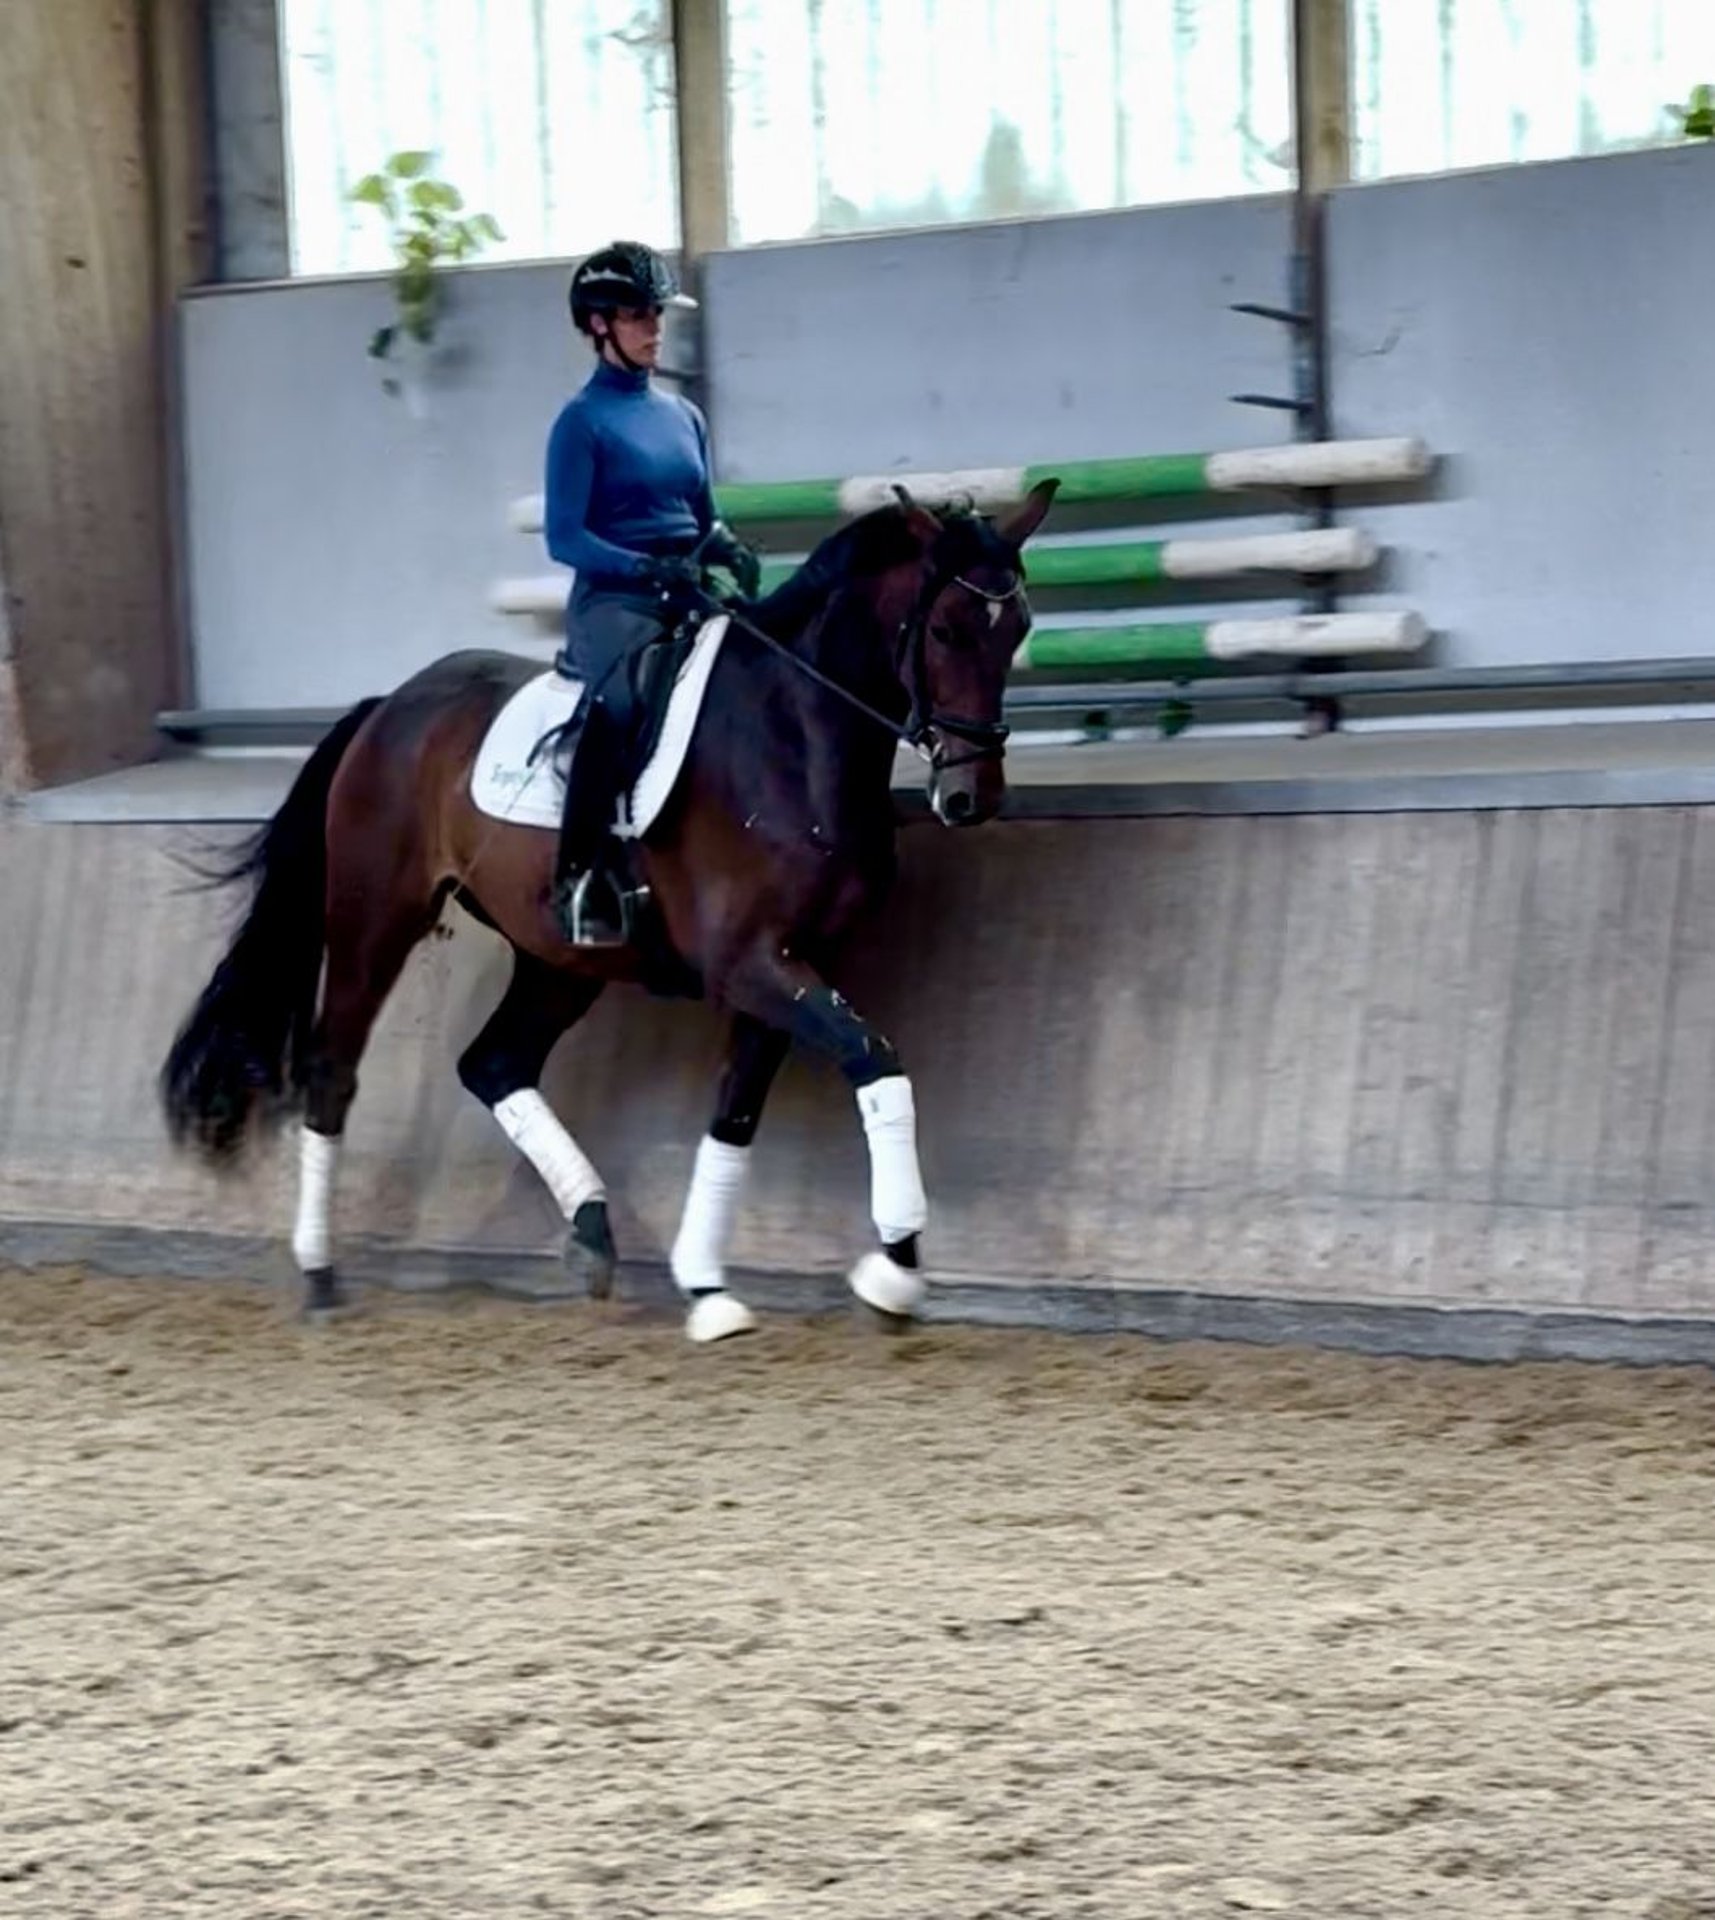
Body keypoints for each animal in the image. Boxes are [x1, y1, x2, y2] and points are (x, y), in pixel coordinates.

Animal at [160, 480, 1059, 1342]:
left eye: (1016, 627)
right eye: (943, 630)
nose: (972, 797)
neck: (794, 740)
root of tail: (390, 706)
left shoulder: (790, 963)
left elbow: (737, 1113)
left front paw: (708, 1286)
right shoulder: (750, 964)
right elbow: (874, 1061)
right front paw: (895, 1266)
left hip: (558, 956)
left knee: (493, 1063)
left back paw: (590, 1227)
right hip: (373, 917)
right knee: (333, 1068)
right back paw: (318, 1274)